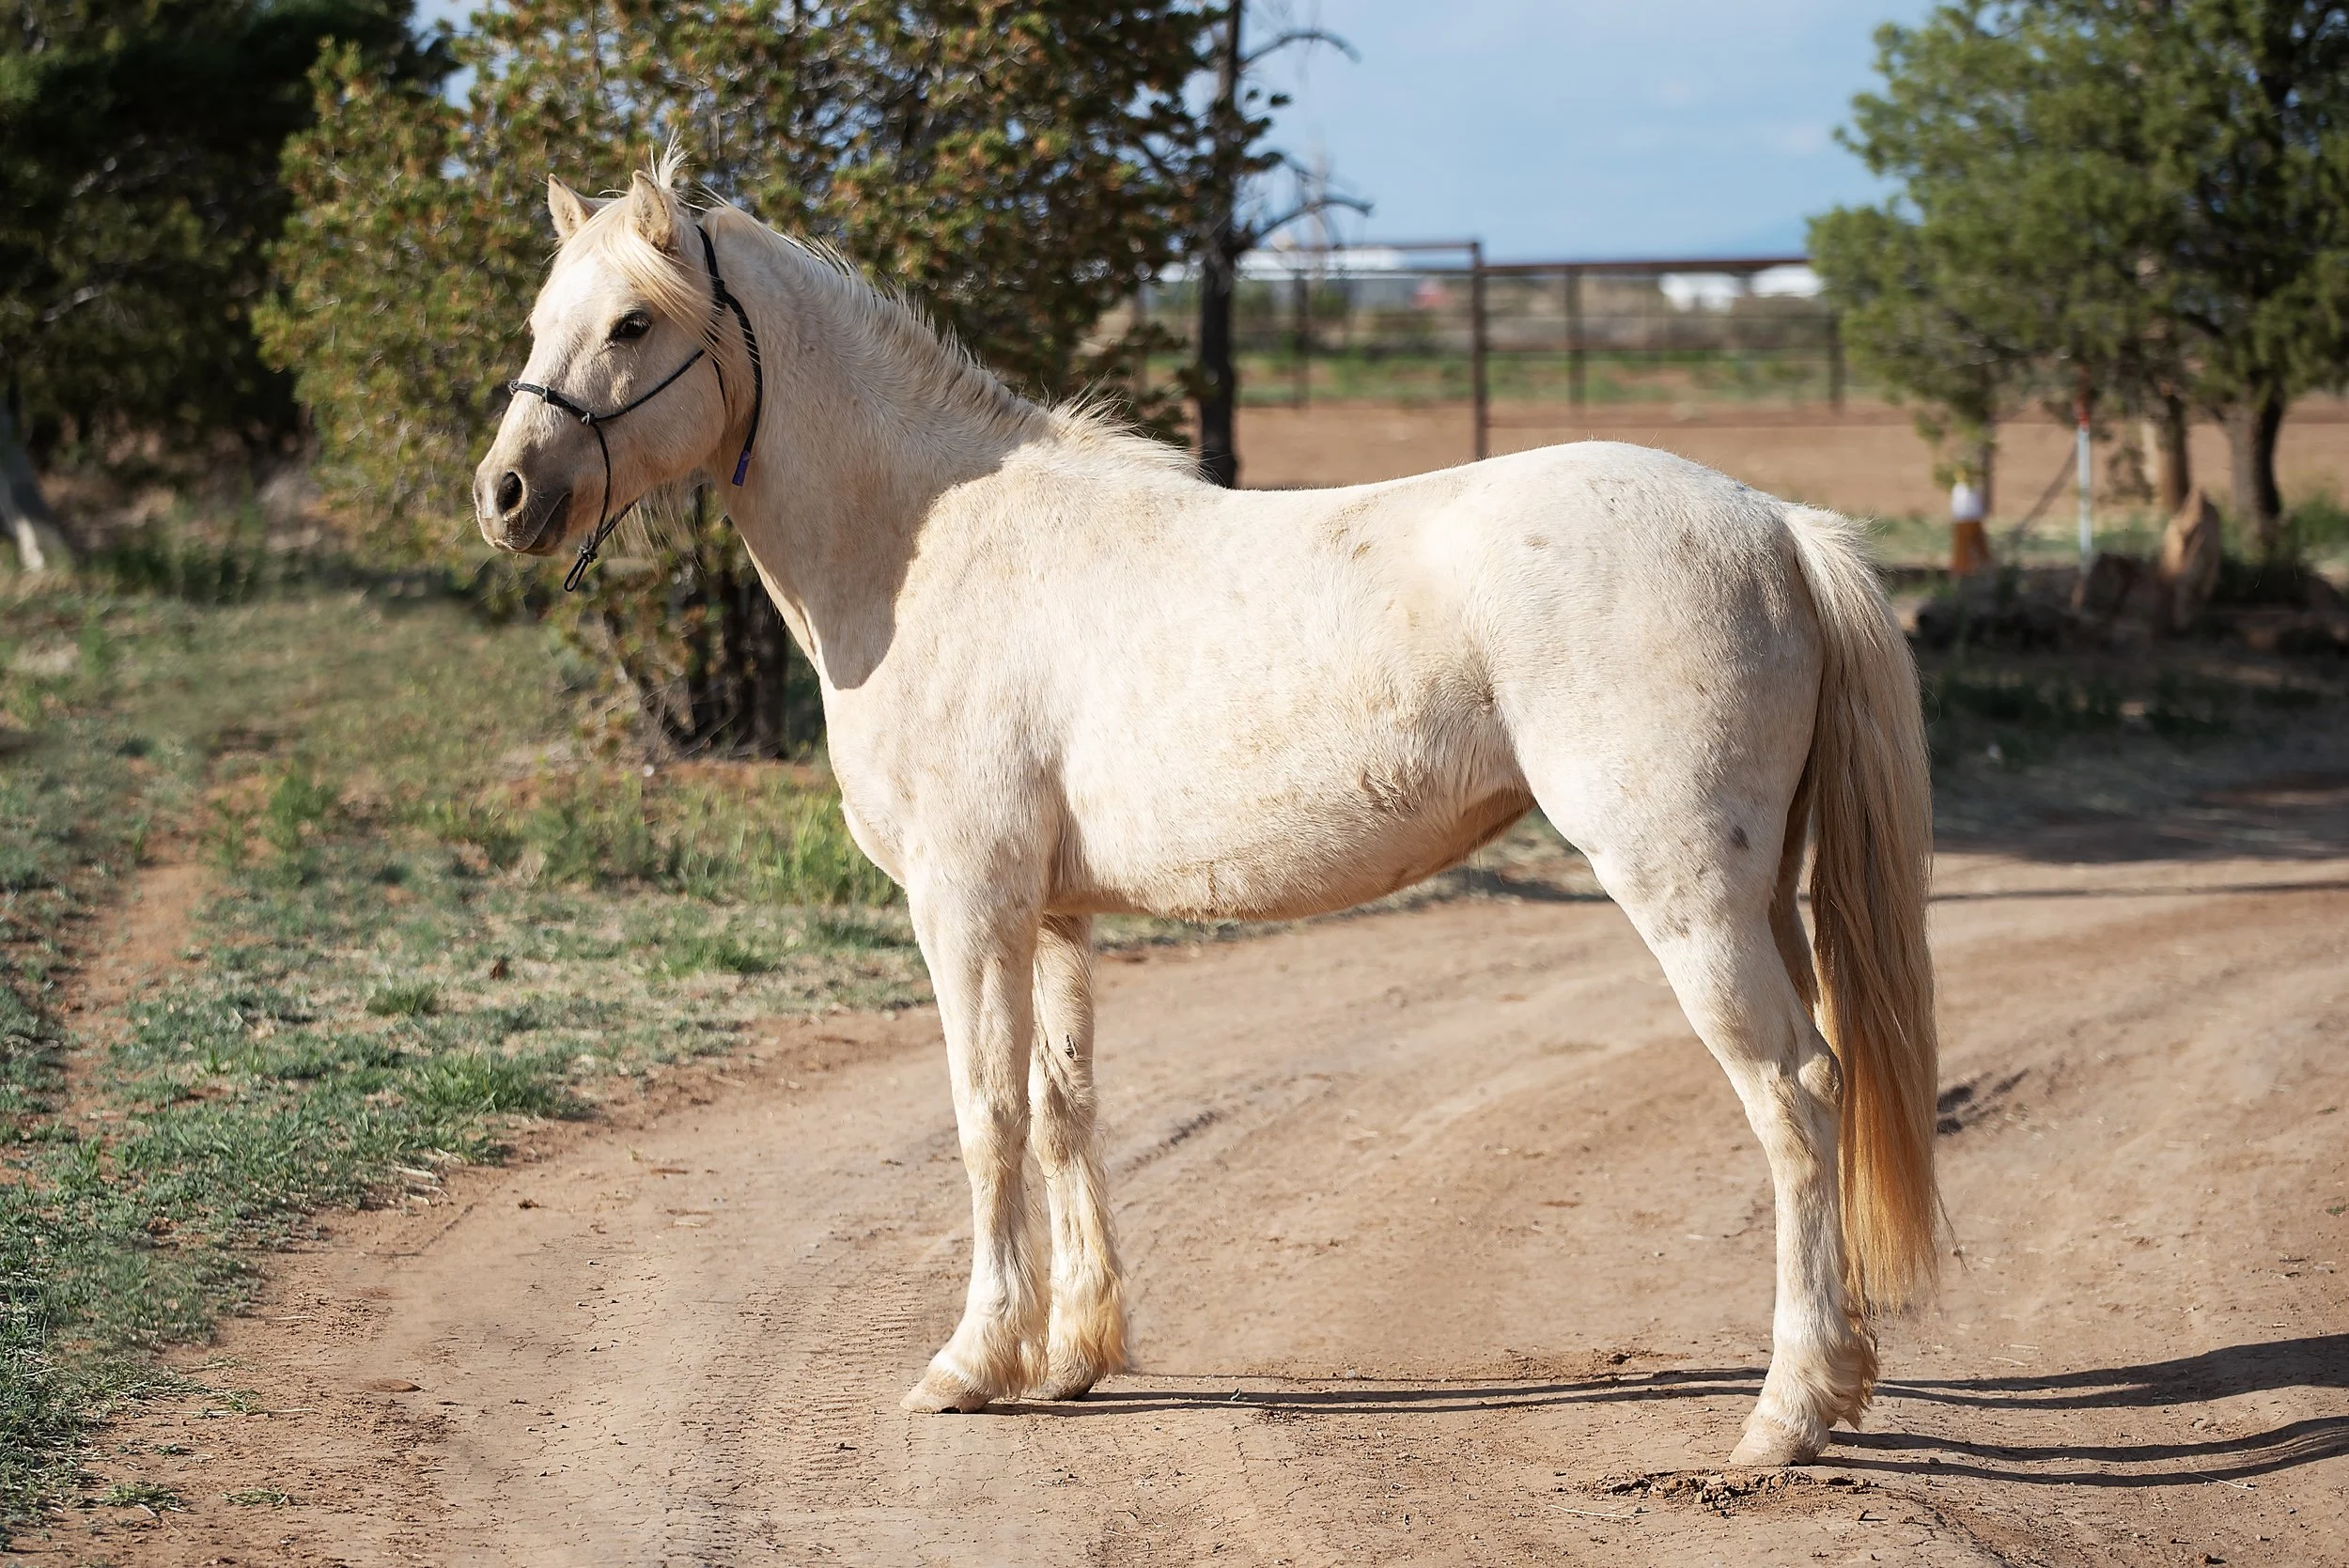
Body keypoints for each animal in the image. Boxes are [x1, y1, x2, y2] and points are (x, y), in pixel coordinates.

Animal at [472, 157, 1940, 1468]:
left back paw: (1783, 1417)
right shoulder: (1053, 914)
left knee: (1795, 1096)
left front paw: (969, 1363)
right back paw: (1840, 1384)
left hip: (1686, 892)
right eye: (541, 317)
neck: (925, 549)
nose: (505, 495)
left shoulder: (965, 903)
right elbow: (1064, 1108)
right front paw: (1073, 1356)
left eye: (634, 322)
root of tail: (1777, 524)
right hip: (1765, 889)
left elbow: (982, 1117)